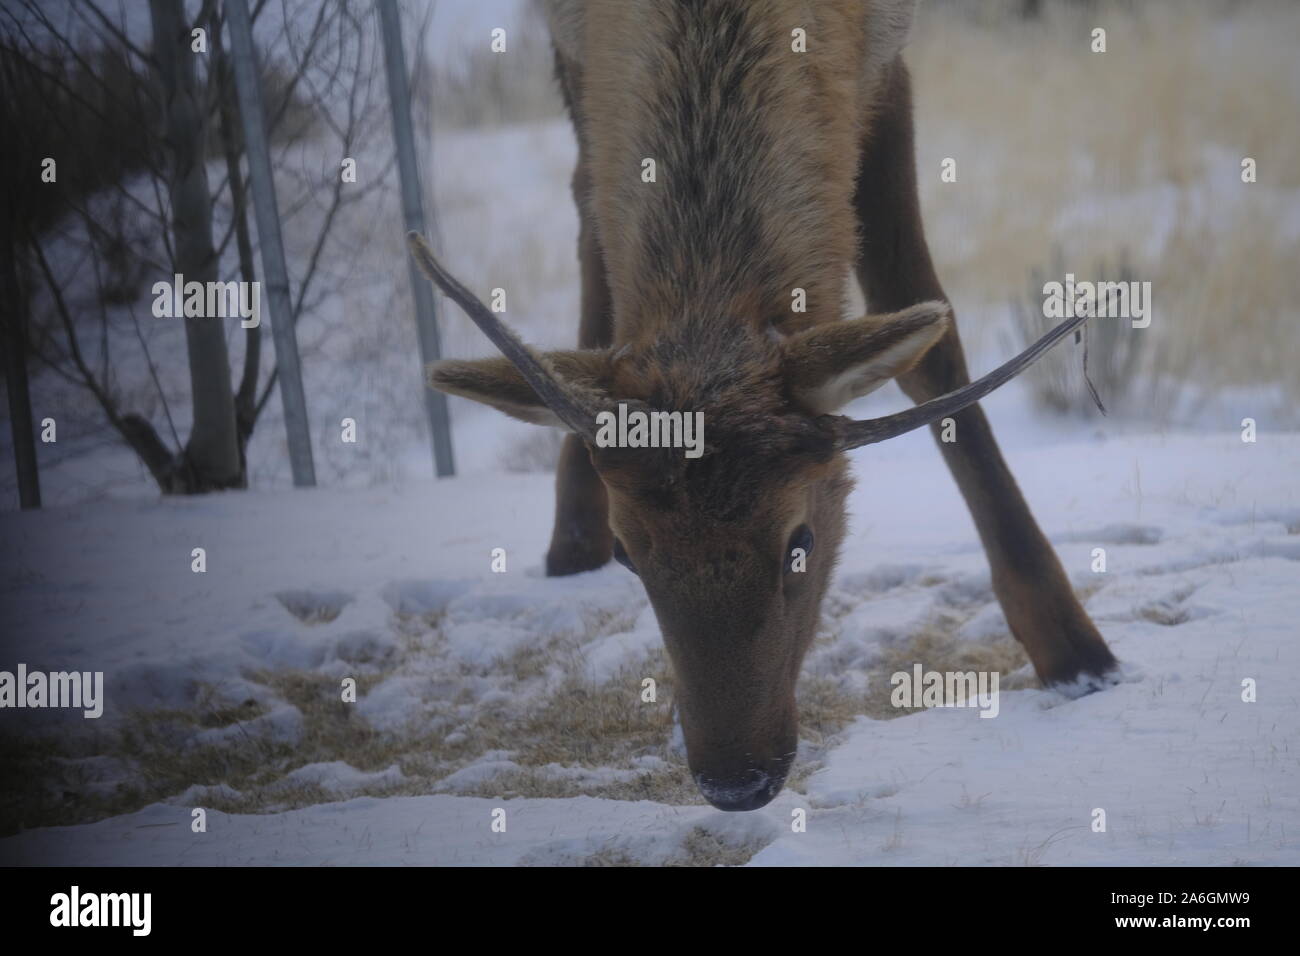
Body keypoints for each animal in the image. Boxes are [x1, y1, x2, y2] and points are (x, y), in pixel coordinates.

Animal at [407, 0, 1118, 811]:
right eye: (629, 553)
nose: (735, 781)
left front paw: (1075, 648)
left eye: (800, 541)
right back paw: (565, 537)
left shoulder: (887, 57)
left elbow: (929, 334)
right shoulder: (570, 46)